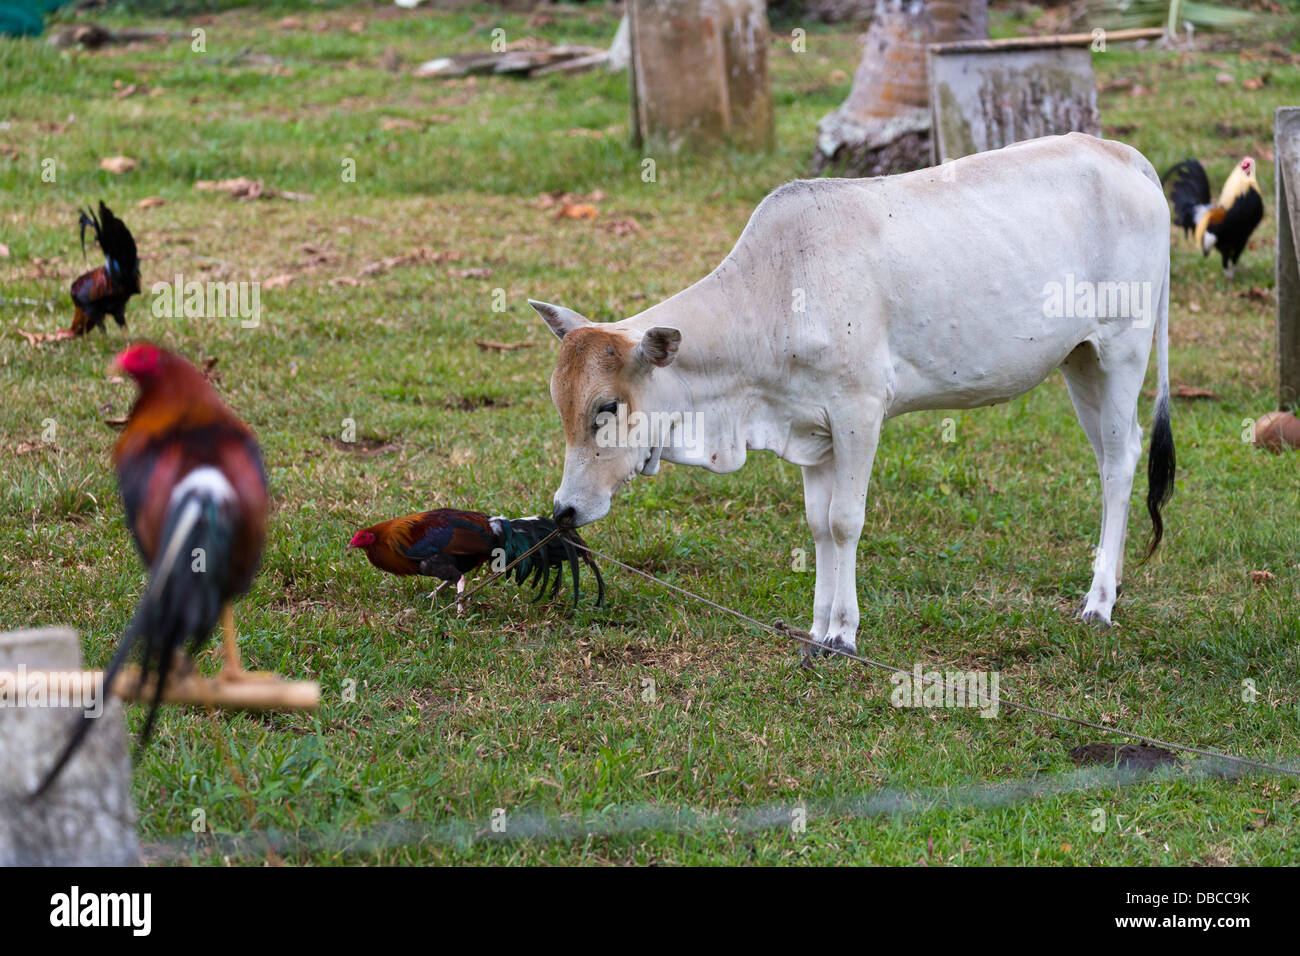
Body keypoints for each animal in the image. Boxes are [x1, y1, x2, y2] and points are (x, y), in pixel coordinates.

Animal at [530, 133, 1174, 654]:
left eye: (607, 407)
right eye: (562, 407)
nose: (564, 510)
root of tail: (1124, 156)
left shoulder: (859, 412)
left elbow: (845, 521)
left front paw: (843, 632)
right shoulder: (810, 428)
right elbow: (818, 525)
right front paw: (817, 629)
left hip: (1122, 349)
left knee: (1120, 463)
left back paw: (1099, 603)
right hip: (1079, 360)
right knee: (1112, 454)